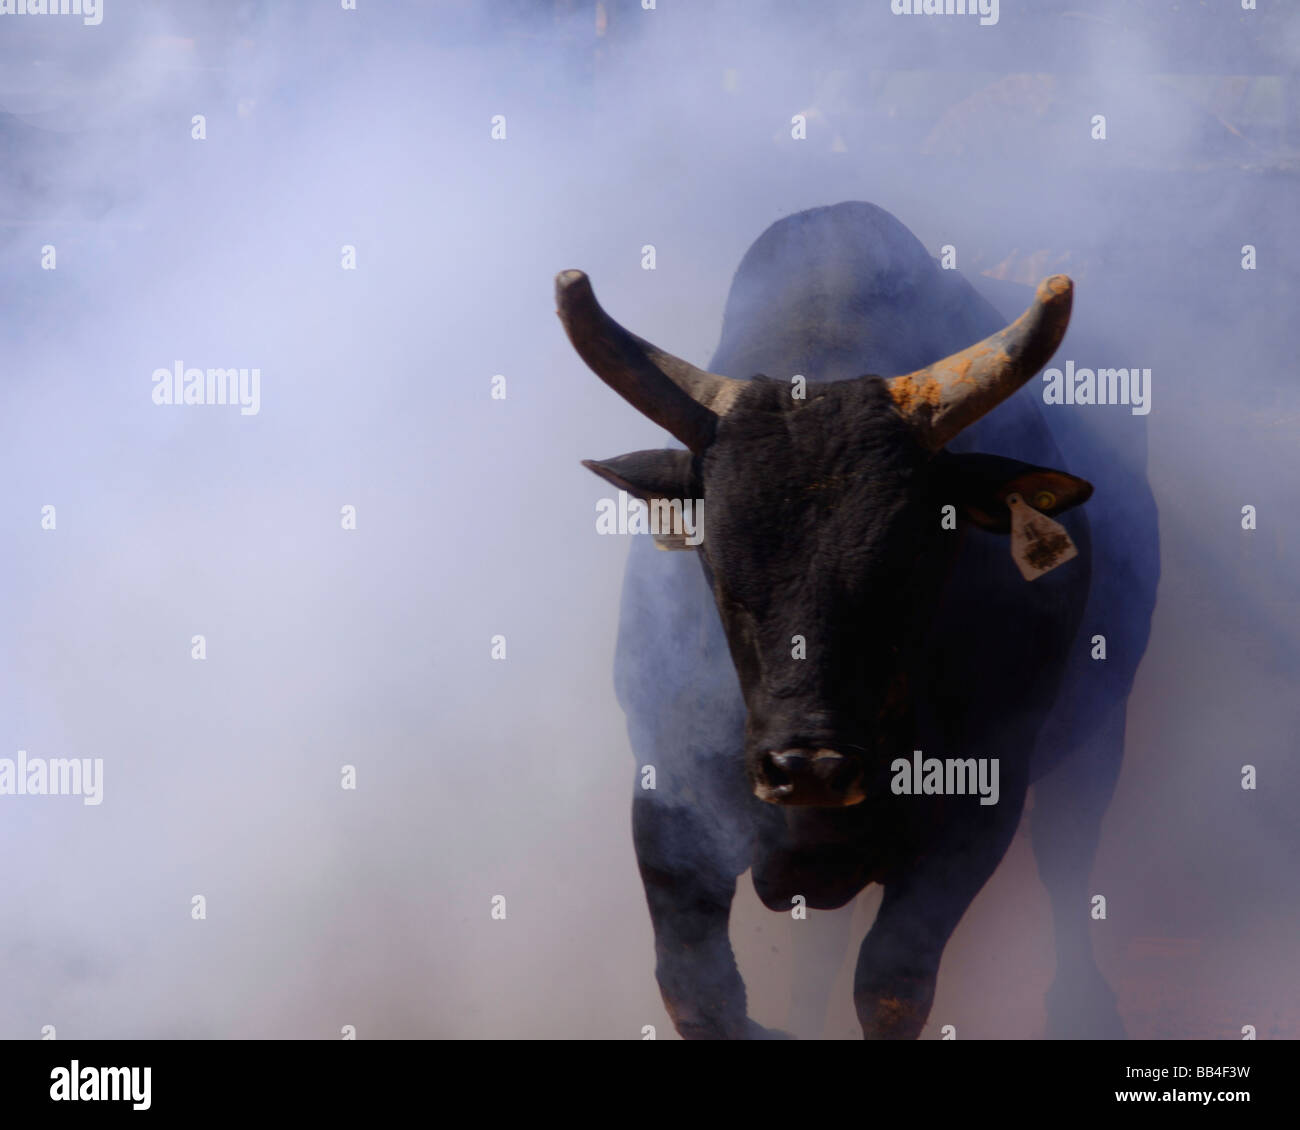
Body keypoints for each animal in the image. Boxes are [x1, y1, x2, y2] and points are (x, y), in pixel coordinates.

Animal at [558, 201, 1158, 1039]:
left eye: (911, 557)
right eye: (719, 559)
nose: (810, 767)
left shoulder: (978, 817)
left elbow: (891, 985)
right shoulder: (670, 804)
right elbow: (699, 991)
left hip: (1103, 735)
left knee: (1071, 863)